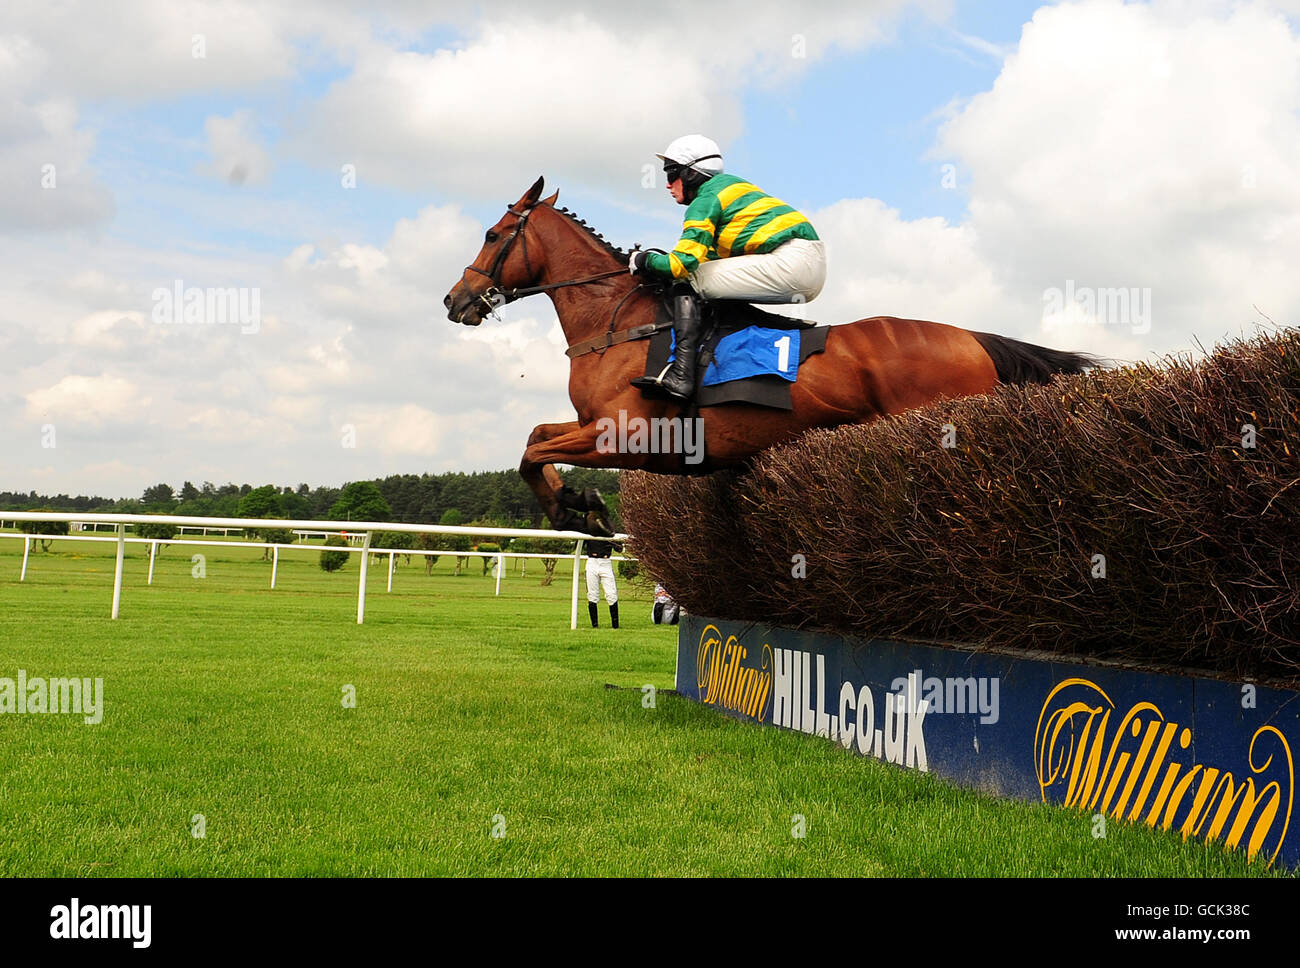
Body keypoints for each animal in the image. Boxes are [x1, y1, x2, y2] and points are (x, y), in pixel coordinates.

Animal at [444, 176, 1096, 536]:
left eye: (492, 235)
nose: (455, 300)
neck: (621, 324)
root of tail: (972, 338)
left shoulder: (624, 437)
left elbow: (532, 452)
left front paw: (576, 507)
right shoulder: (592, 425)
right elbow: (534, 438)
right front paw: (579, 502)